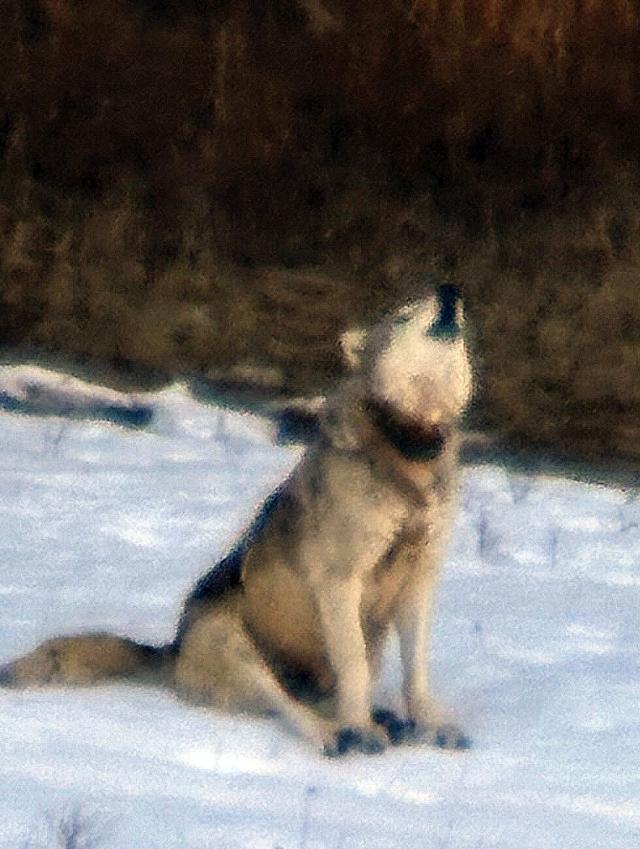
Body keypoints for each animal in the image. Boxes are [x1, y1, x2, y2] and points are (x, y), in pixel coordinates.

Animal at [0, 284, 474, 757]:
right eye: (405, 314)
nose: (449, 292)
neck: (411, 445)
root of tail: (171, 652)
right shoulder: (340, 580)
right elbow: (353, 666)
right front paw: (361, 729)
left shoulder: (420, 579)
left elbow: (416, 671)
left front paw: (431, 725)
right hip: (235, 645)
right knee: (288, 707)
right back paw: (339, 734)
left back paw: (385, 720)